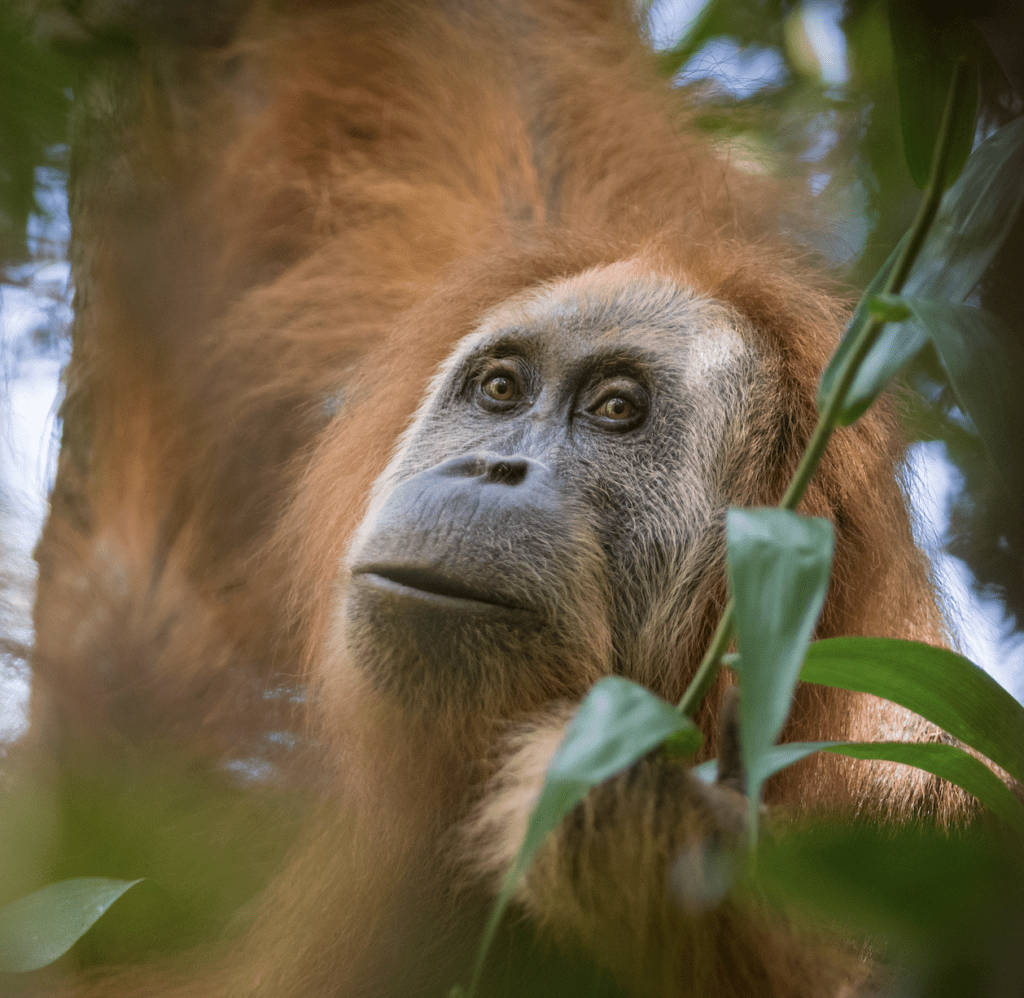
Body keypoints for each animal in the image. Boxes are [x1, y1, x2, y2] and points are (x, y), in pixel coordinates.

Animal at [12, 0, 971, 996]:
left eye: (616, 410)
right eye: (503, 389)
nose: (490, 469)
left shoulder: (920, 797)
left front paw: (636, 837)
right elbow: (509, 81)